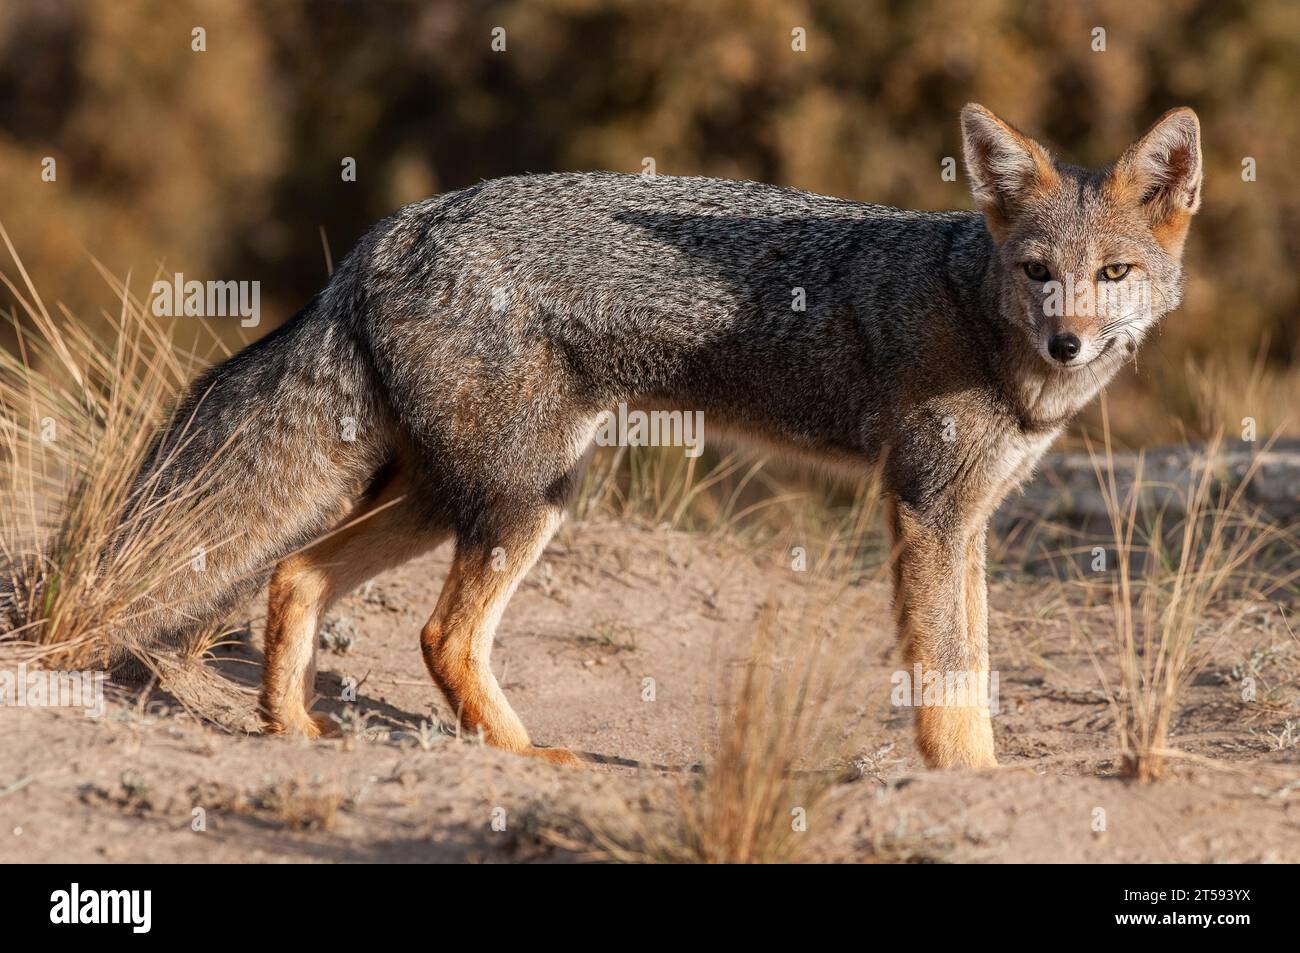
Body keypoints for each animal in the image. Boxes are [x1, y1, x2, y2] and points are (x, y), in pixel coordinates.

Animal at [2, 104, 1202, 768]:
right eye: (1036, 272)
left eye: (1111, 275)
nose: (1065, 342)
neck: (970, 306)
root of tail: (389, 231)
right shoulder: (926, 509)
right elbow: (947, 679)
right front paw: (965, 784)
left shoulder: (970, 521)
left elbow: (977, 668)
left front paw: (988, 775)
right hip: (528, 497)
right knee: (440, 634)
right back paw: (528, 757)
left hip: (449, 495)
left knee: (296, 572)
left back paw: (292, 733)